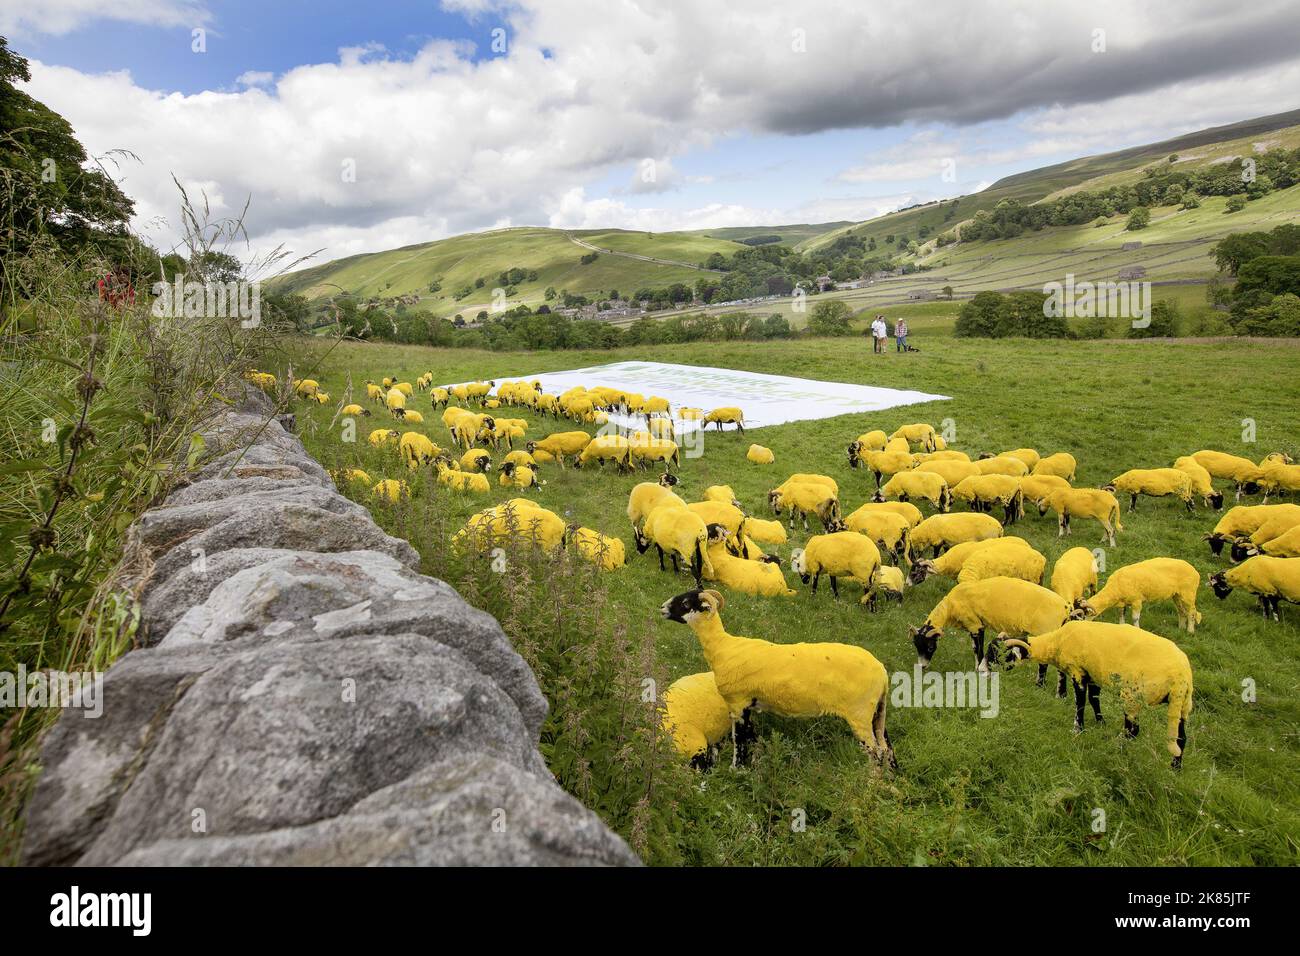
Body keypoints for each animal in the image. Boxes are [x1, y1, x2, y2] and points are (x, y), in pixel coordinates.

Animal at [660, 589, 895, 766]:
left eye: (686, 602)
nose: (661, 608)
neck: (723, 647)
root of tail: (882, 673)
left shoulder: (738, 704)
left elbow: (739, 741)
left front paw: (736, 768)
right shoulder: (749, 706)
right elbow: (750, 737)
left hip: (860, 713)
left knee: (877, 752)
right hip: (875, 712)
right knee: (887, 747)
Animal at [910, 577, 1077, 673]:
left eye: (930, 647)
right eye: (916, 646)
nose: (922, 667)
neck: (951, 606)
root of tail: (1066, 609)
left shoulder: (974, 625)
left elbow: (977, 649)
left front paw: (978, 669)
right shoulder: (979, 626)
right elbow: (977, 648)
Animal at [1001, 621, 1193, 768]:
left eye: (1006, 653)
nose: (997, 669)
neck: (1056, 642)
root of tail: (1180, 676)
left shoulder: (1078, 671)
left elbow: (1080, 703)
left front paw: (1077, 729)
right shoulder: (1094, 676)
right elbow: (1094, 700)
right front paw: (1101, 722)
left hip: (1133, 697)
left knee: (1133, 730)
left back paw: (1116, 747)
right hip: (1183, 705)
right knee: (1181, 739)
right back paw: (1175, 768)